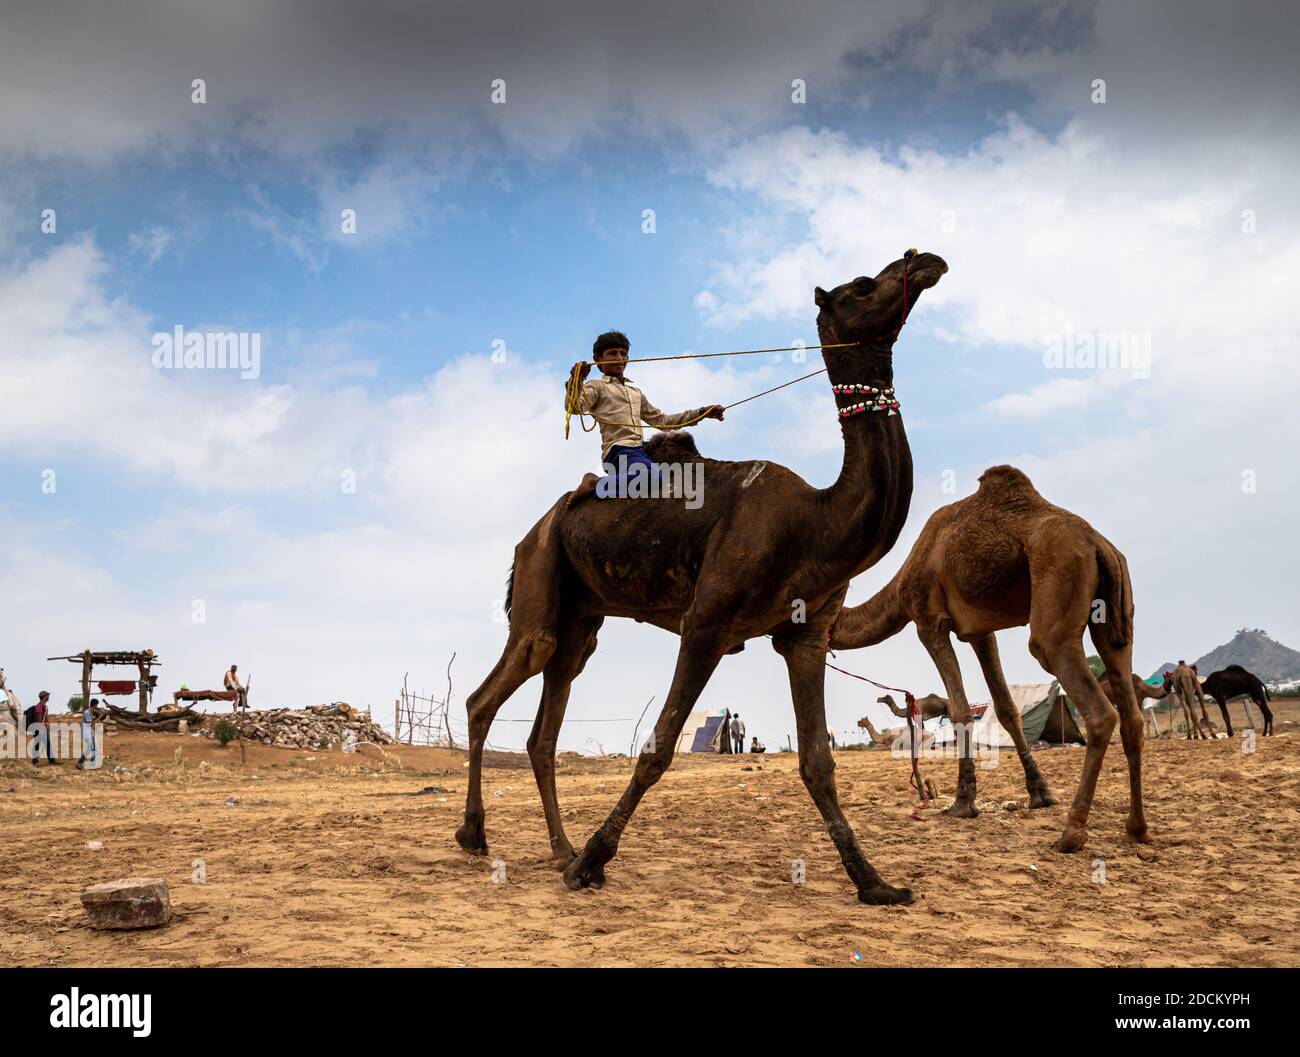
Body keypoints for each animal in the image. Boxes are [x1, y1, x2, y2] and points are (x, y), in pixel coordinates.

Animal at [456, 251, 949, 906]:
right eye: (865, 284)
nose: (925, 260)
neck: (813, 521)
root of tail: (535, 527)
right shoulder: (708, 623)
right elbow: (658, 748)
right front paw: (593, 862)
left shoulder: (804, 633)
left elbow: (818, 760)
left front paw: (876, 883)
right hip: (542, 569)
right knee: (494, 687)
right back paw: (476, 835)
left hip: (582, 616)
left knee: (547, 719)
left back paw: (557, 846)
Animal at [830, 465, 1148, 854]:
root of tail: (1098, 545)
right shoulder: (981, 632)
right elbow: (1007, 708)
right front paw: (1040, 794)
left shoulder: (929, 621)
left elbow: (960, 709)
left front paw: (962, 803)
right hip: (1117, 615)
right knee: (1130, 711)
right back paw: (1136, 828)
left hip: (1057, 606)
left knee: (1097, 708)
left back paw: (1071, 833)